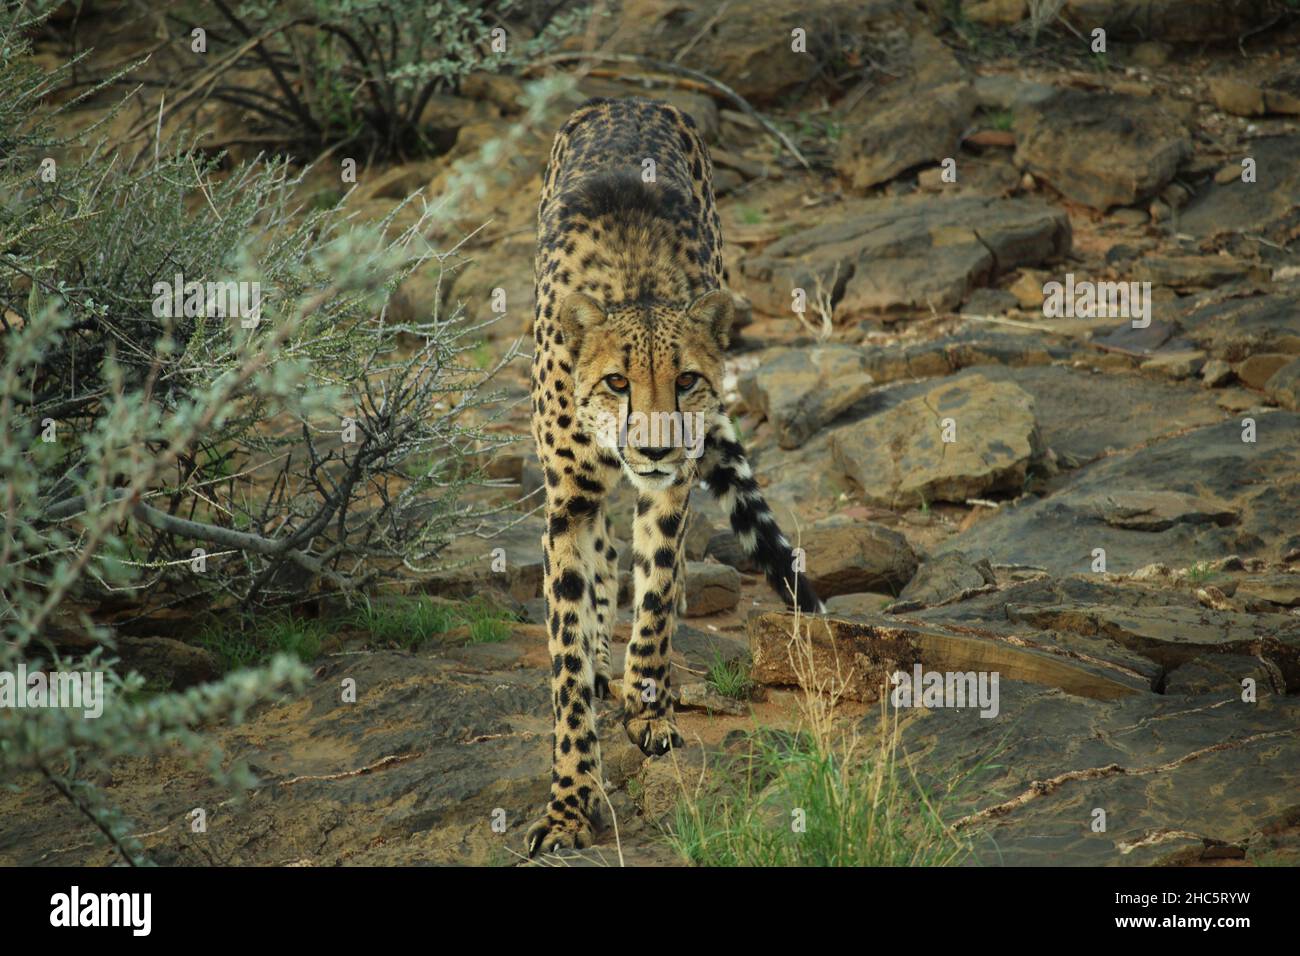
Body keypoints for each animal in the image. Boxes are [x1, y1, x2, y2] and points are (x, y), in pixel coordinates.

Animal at [526, 96, 825, 857]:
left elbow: (658, 594)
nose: (657, 447)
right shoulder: (569, 505)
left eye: (686, 379)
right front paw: (569, 802)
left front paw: (649, 706)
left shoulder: (670, 490)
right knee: (604, 562)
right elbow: (567, 661)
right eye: (616, 382)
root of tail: (625, 97)